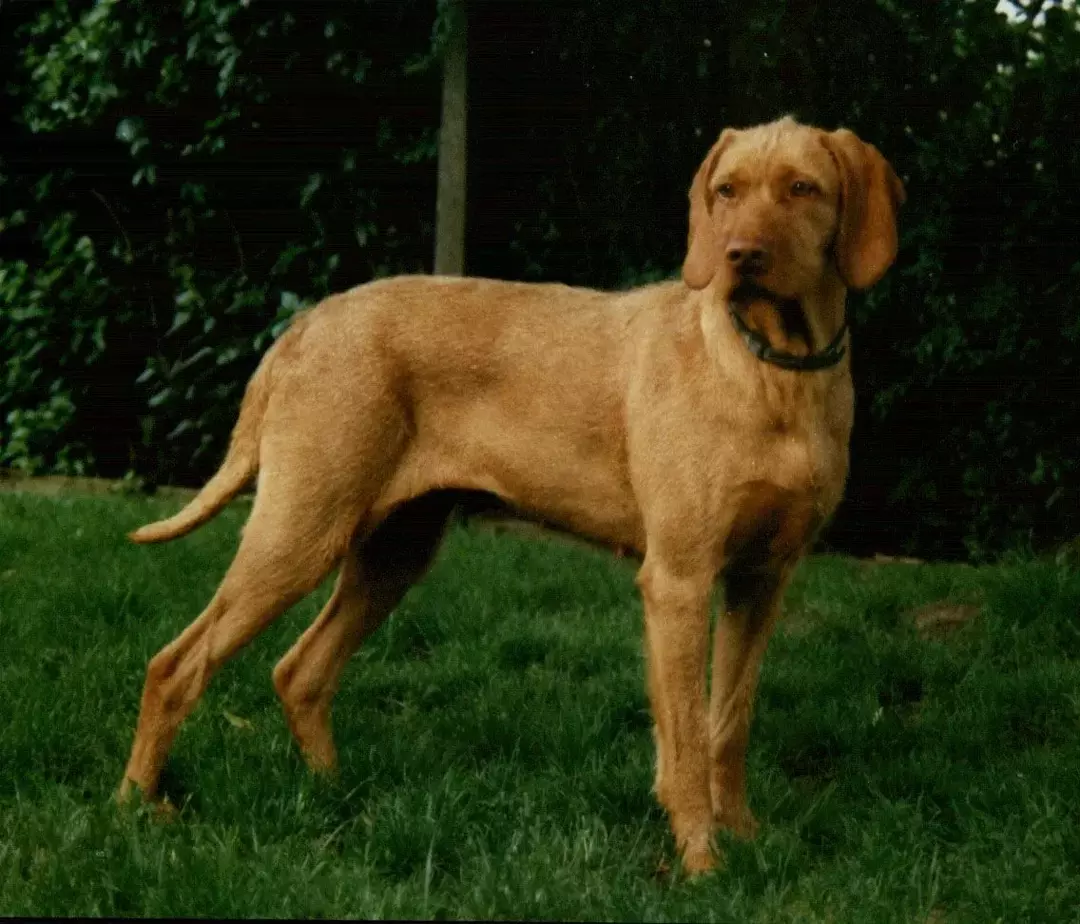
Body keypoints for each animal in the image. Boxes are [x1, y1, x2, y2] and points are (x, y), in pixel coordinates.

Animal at [118, 115, 902, 872]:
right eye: (726, 192)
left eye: (801, 188)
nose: (740, 256)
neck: (774, 368)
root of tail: (305, 324)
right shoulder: (679, 578)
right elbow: (683, 737)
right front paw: (701, 860)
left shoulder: (760, 580)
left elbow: (728, 722)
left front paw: (741, 834)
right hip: (299, 532)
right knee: (173, 665)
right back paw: (138, 806)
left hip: (394, 550)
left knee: (299, 671)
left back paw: (334, 795)